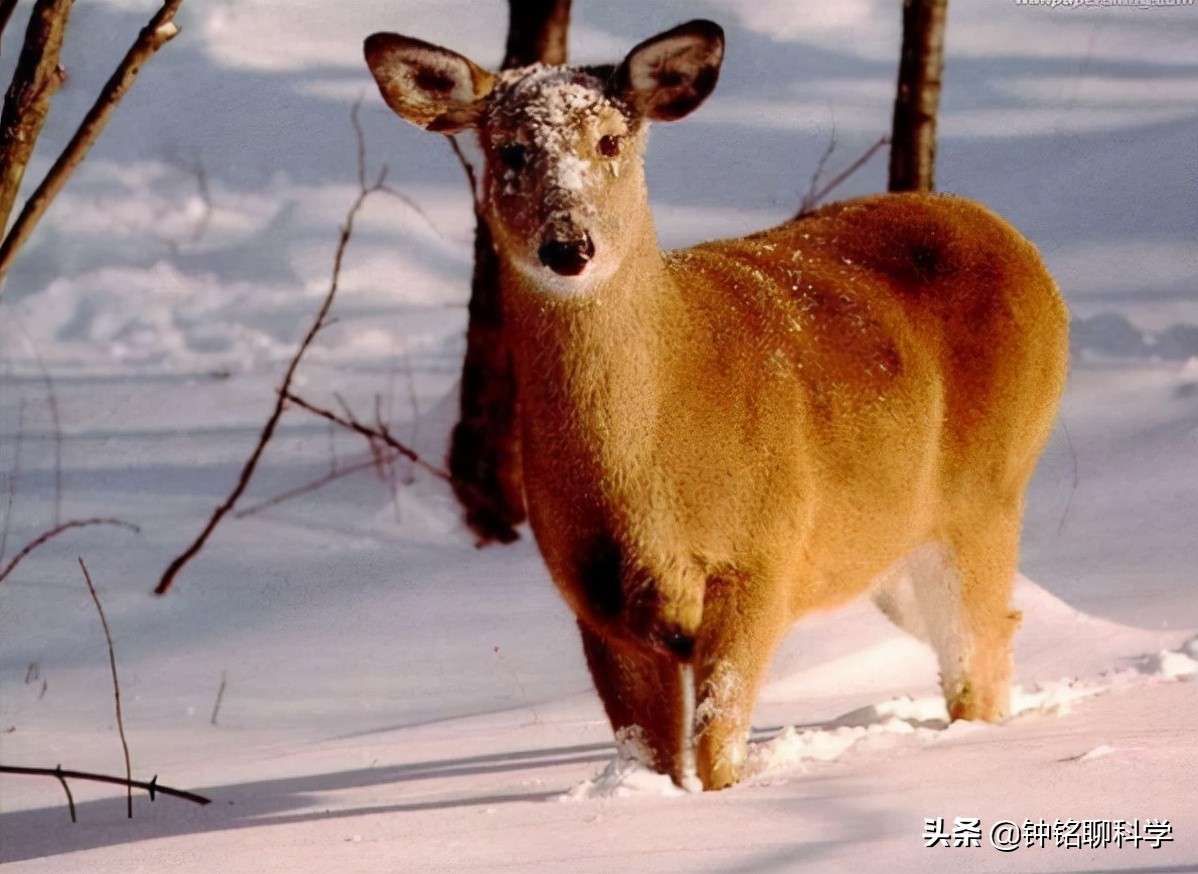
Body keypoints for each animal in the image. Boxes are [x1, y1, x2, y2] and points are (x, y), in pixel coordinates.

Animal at [364, 20, 1069, 791]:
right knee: (990, 633)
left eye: (610, 141)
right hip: (893, 545)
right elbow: (649, 756)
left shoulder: (761, 554)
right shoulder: (591, 596)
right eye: (510, 149)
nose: (568, 246)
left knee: (979, 652)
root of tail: (1012, 240)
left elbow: (716, 742)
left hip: (988, 491)